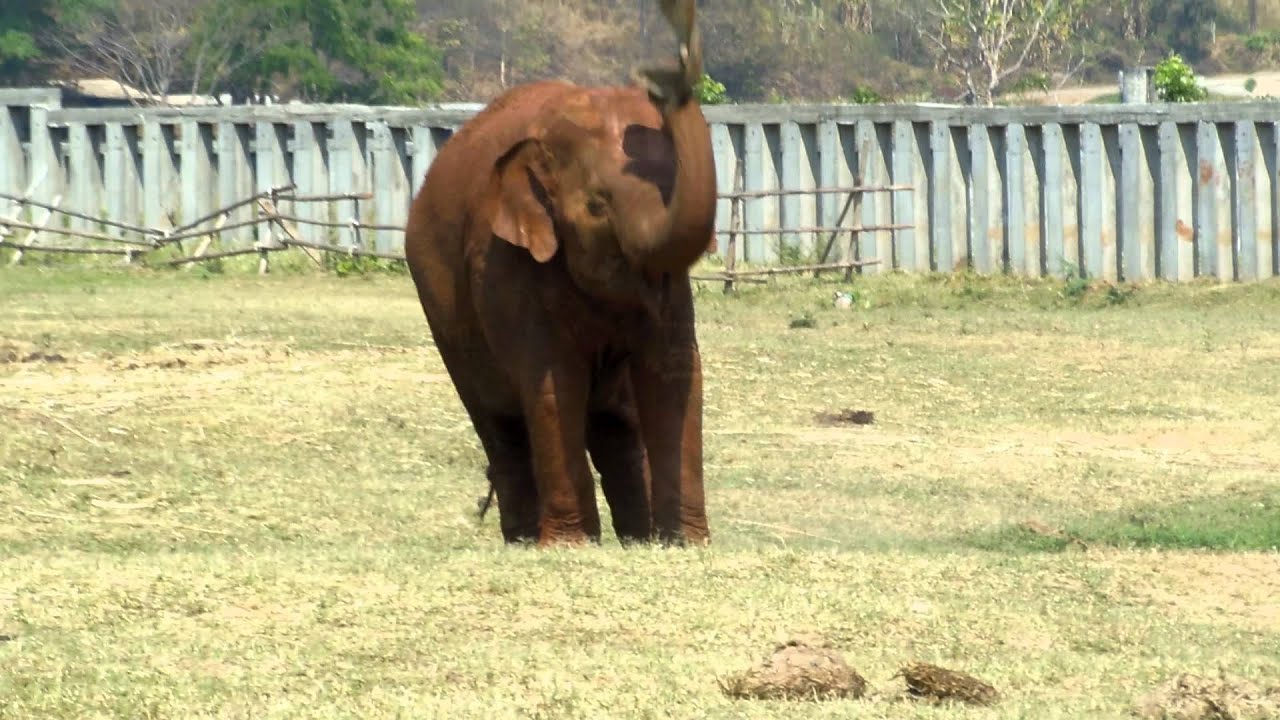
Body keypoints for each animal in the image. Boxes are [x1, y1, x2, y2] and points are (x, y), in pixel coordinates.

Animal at [403, 0, 716, 547]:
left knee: (616, 426)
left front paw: (685, 544)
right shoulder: (508, 267)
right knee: (499, 425)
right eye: (597, 205)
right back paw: (526, 540)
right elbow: (554, 384)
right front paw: (571, 545)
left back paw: (635, 538)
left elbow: (674, 370)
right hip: (441, 307)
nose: (659, 76)